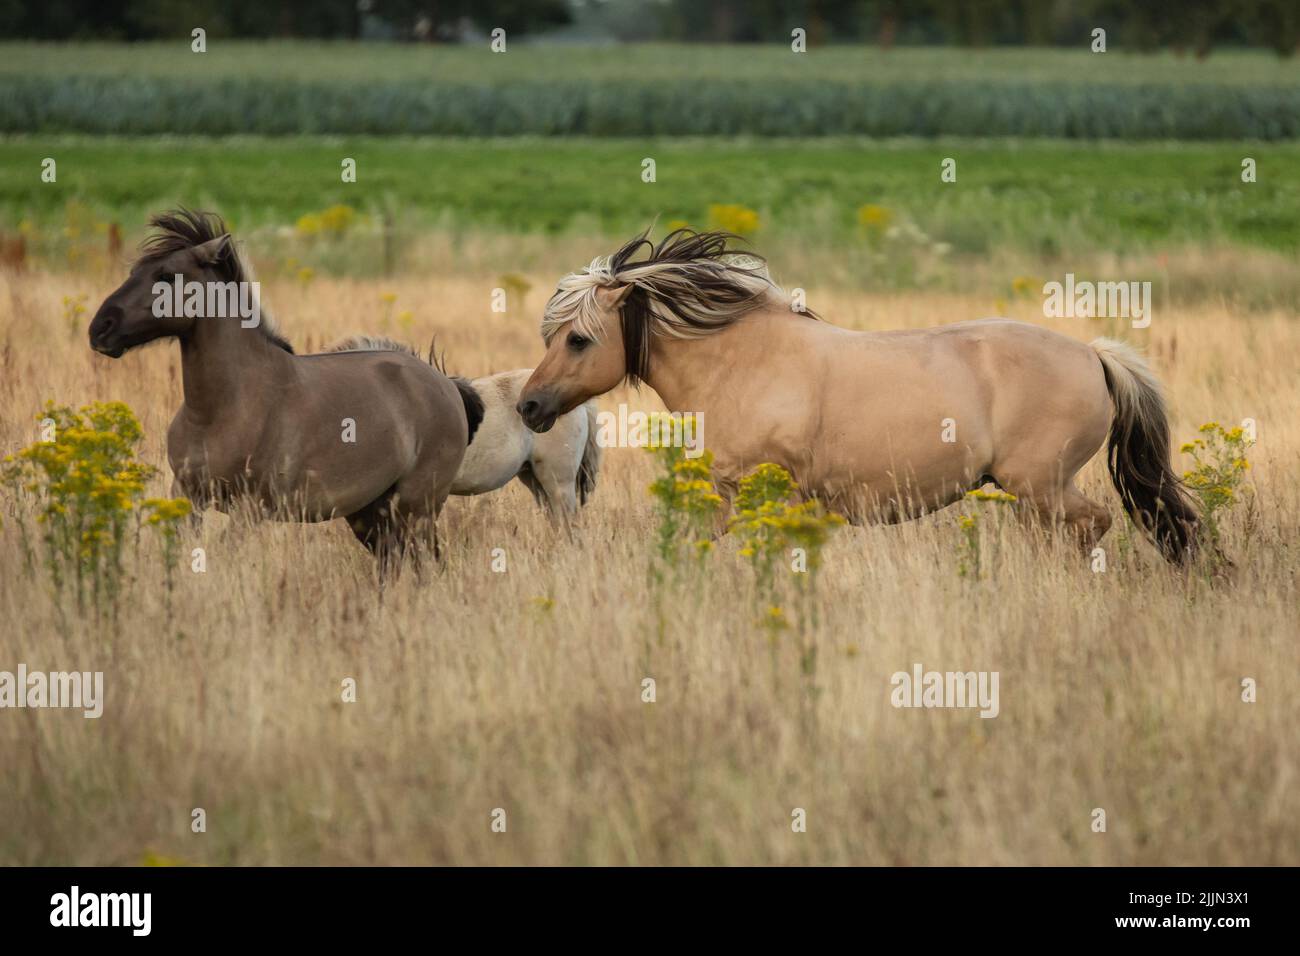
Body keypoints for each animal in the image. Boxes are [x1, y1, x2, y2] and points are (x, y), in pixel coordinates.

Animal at [87, 209, 485, 570]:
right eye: (133, 272)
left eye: (167, 276)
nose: (100, 328)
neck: (219, 411)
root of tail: (448, 386)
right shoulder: (186, 495)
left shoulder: (249, 509)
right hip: (371, 512)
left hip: (416, 507)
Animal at [517, 229, 1201, 563]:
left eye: (578, 339)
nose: (529, 406)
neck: (740, 364)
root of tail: (1095, 356)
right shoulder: (732, 495)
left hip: (1042, 485)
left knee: (1094, 524)